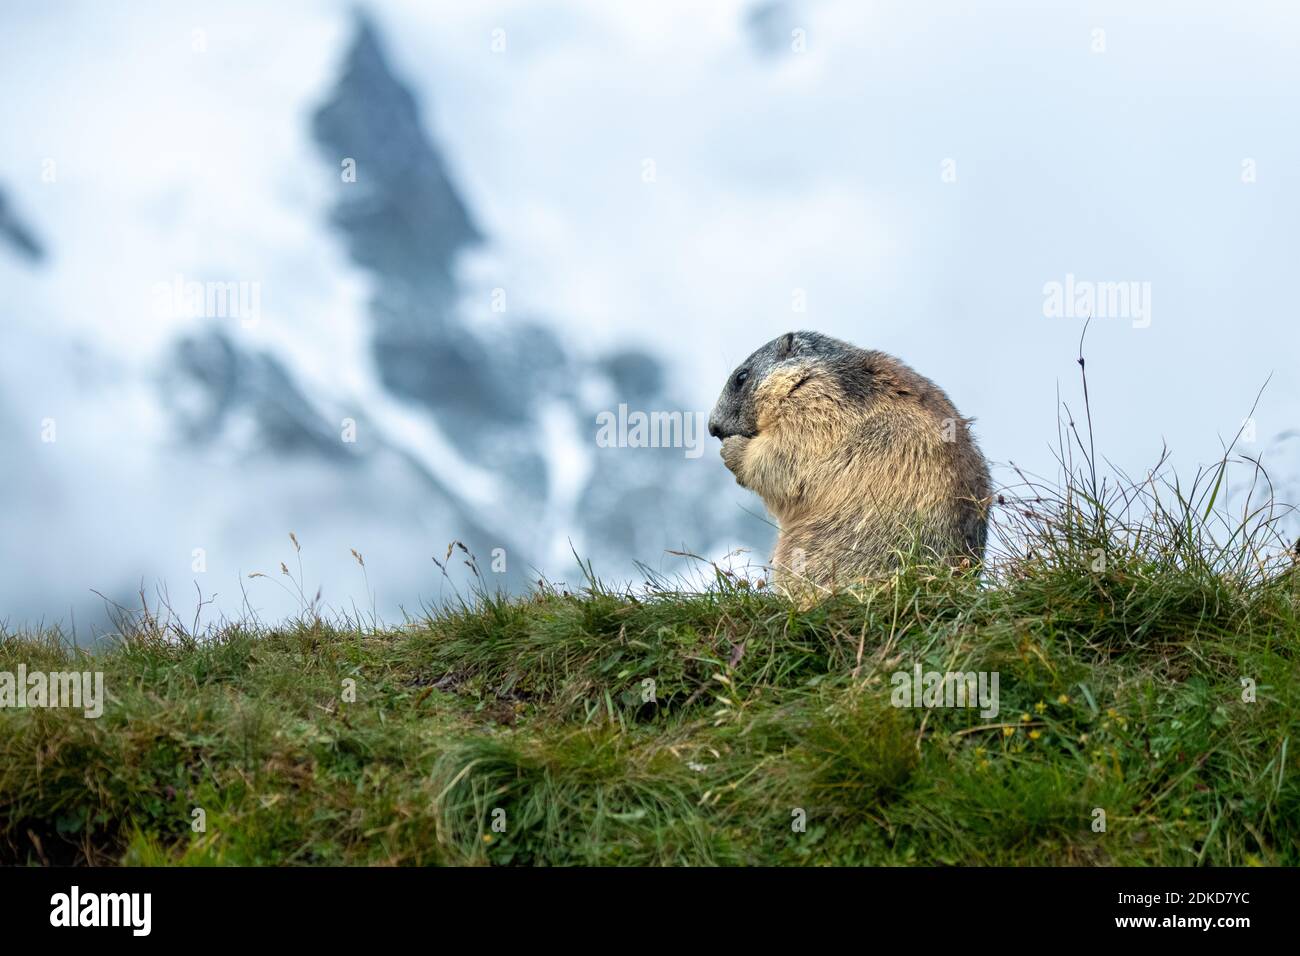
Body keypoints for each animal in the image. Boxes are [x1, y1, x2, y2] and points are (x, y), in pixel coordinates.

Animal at [708, 331, 991, 592]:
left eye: (741, 377)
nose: (712, 428)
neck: (805, 374)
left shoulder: (815, 403)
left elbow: (785, 456)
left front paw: (732, 450)